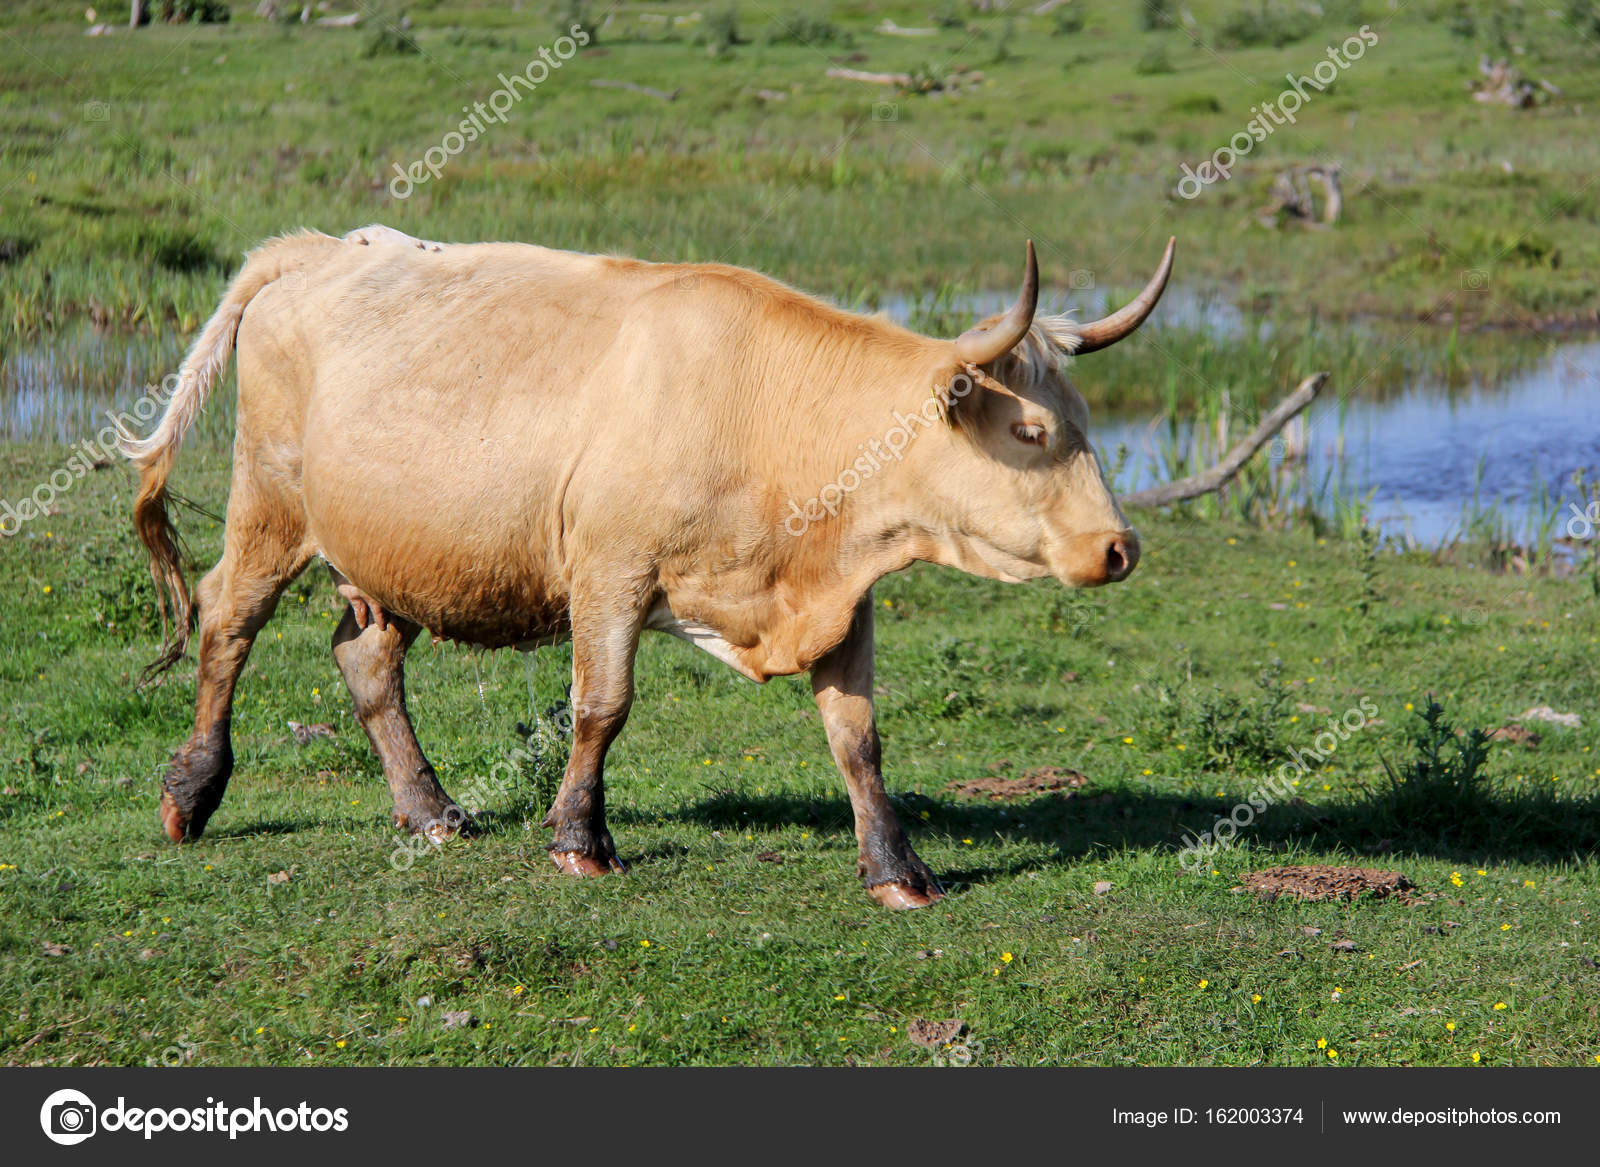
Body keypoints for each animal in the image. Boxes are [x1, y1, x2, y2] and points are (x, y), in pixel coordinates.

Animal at [123, 225, 1173, 909]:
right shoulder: (610, 572)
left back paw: (428, 810)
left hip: (394, 554)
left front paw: (897, 870)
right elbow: (601, 706)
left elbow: (858, 735)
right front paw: (580, 841)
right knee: (226, 622)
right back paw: (191, 792)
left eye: (1084, 417)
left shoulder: (844, 598)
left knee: (365, 657)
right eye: (1030, 430)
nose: (1119, 547)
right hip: (269, 507)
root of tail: (323, 248)